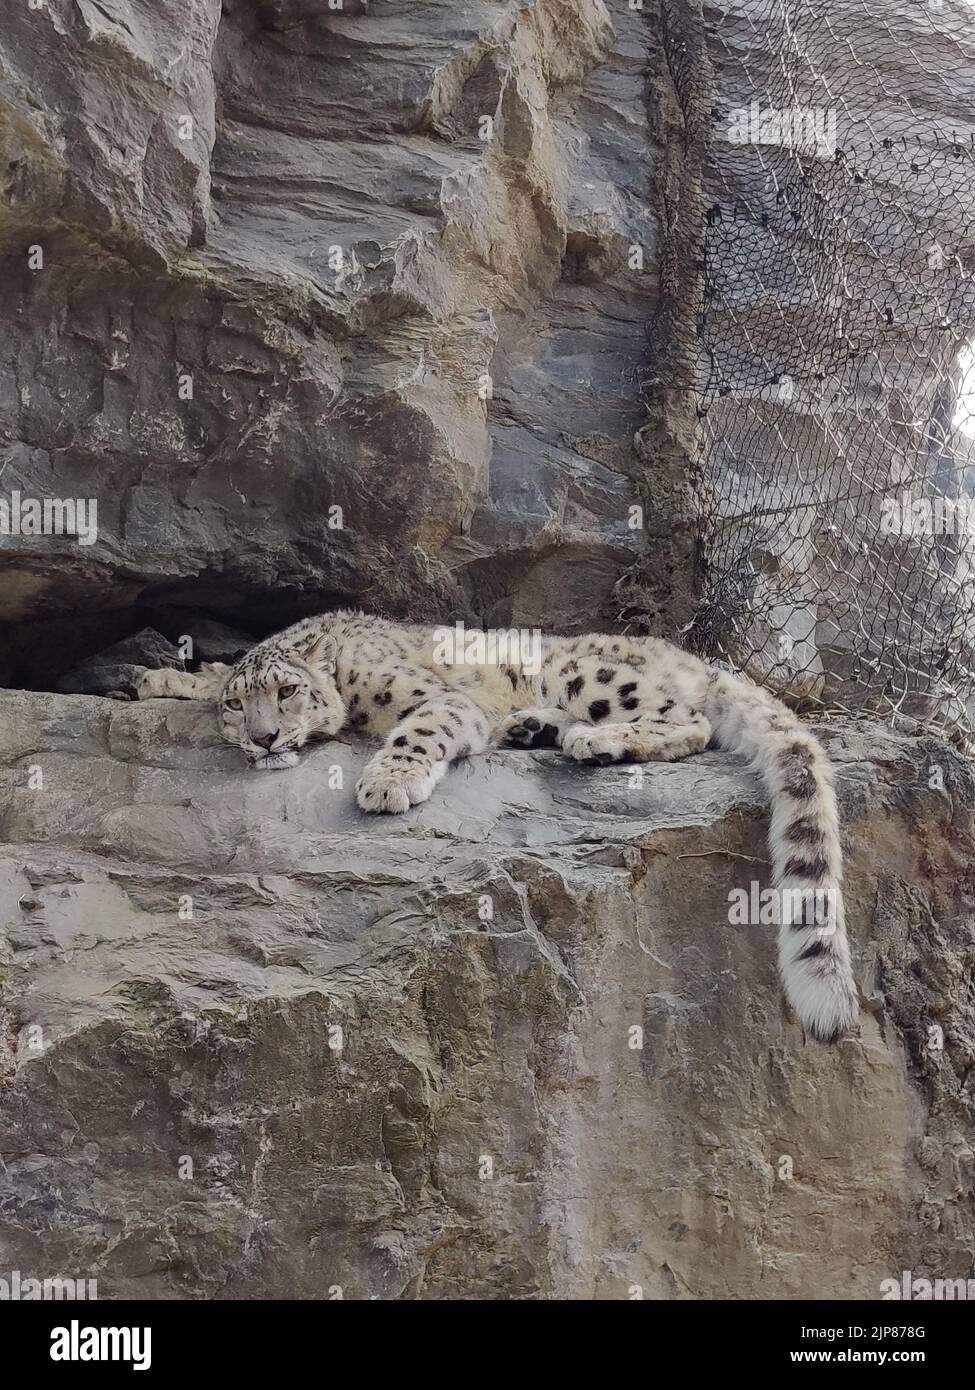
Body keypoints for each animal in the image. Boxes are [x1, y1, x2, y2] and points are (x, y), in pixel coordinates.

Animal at [137, 609, 860, 1044]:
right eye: (236, 707)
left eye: (287, 692)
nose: (262, 739)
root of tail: (697, 659)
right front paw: (161, 677)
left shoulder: (439, 698)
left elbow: (422, 728)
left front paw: (388, 781)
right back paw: (534, 727)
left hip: (587, 672)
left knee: (690, 720)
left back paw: (594, 739)